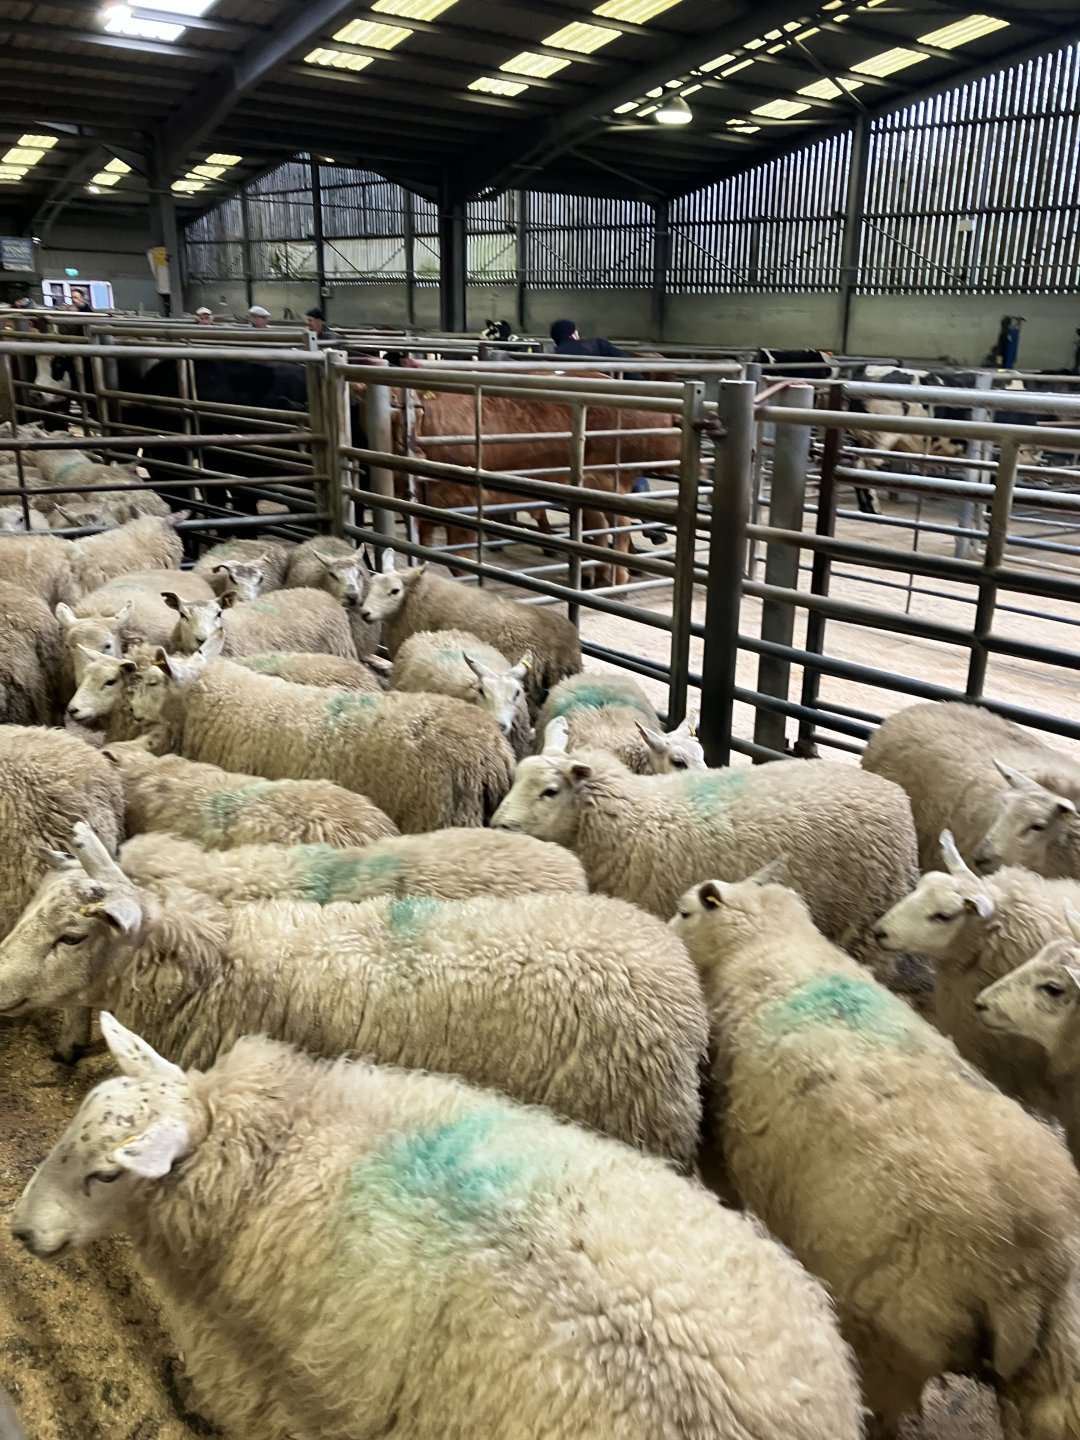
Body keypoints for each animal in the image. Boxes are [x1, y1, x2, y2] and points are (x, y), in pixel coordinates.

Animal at [671, 873, 1080, 1440]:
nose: (661, 930)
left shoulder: (716, 1140)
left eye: (685, 912)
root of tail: (1023, 1271)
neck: (763, 939)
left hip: (889, 1337)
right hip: (1053, 1363)